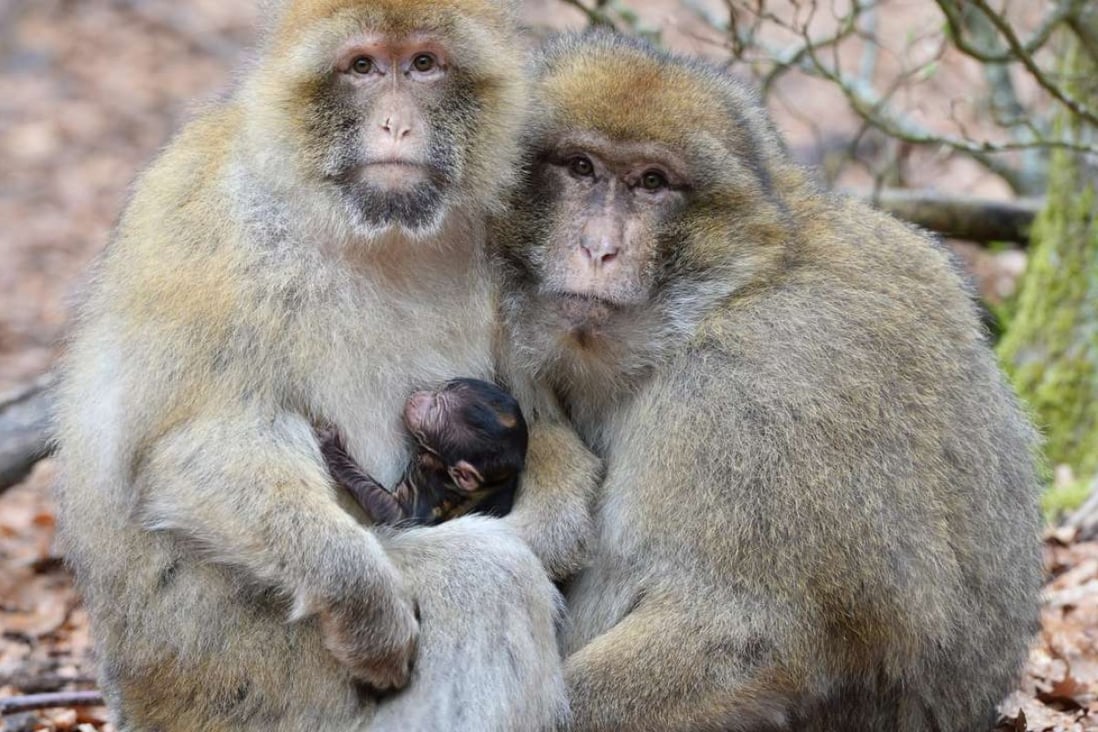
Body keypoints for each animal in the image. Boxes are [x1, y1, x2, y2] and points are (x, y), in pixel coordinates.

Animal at [321, 378, 529, 526]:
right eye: (438, 391)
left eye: (435, 408)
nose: (418, 395)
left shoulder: (432, 487)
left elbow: (398, 514)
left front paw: (332, 446)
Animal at [494, 30, 1043, 731]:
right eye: (581, 167)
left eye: (652, 183)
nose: (598, 248)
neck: (717, 297)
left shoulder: (750, 396)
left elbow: (744, 628)